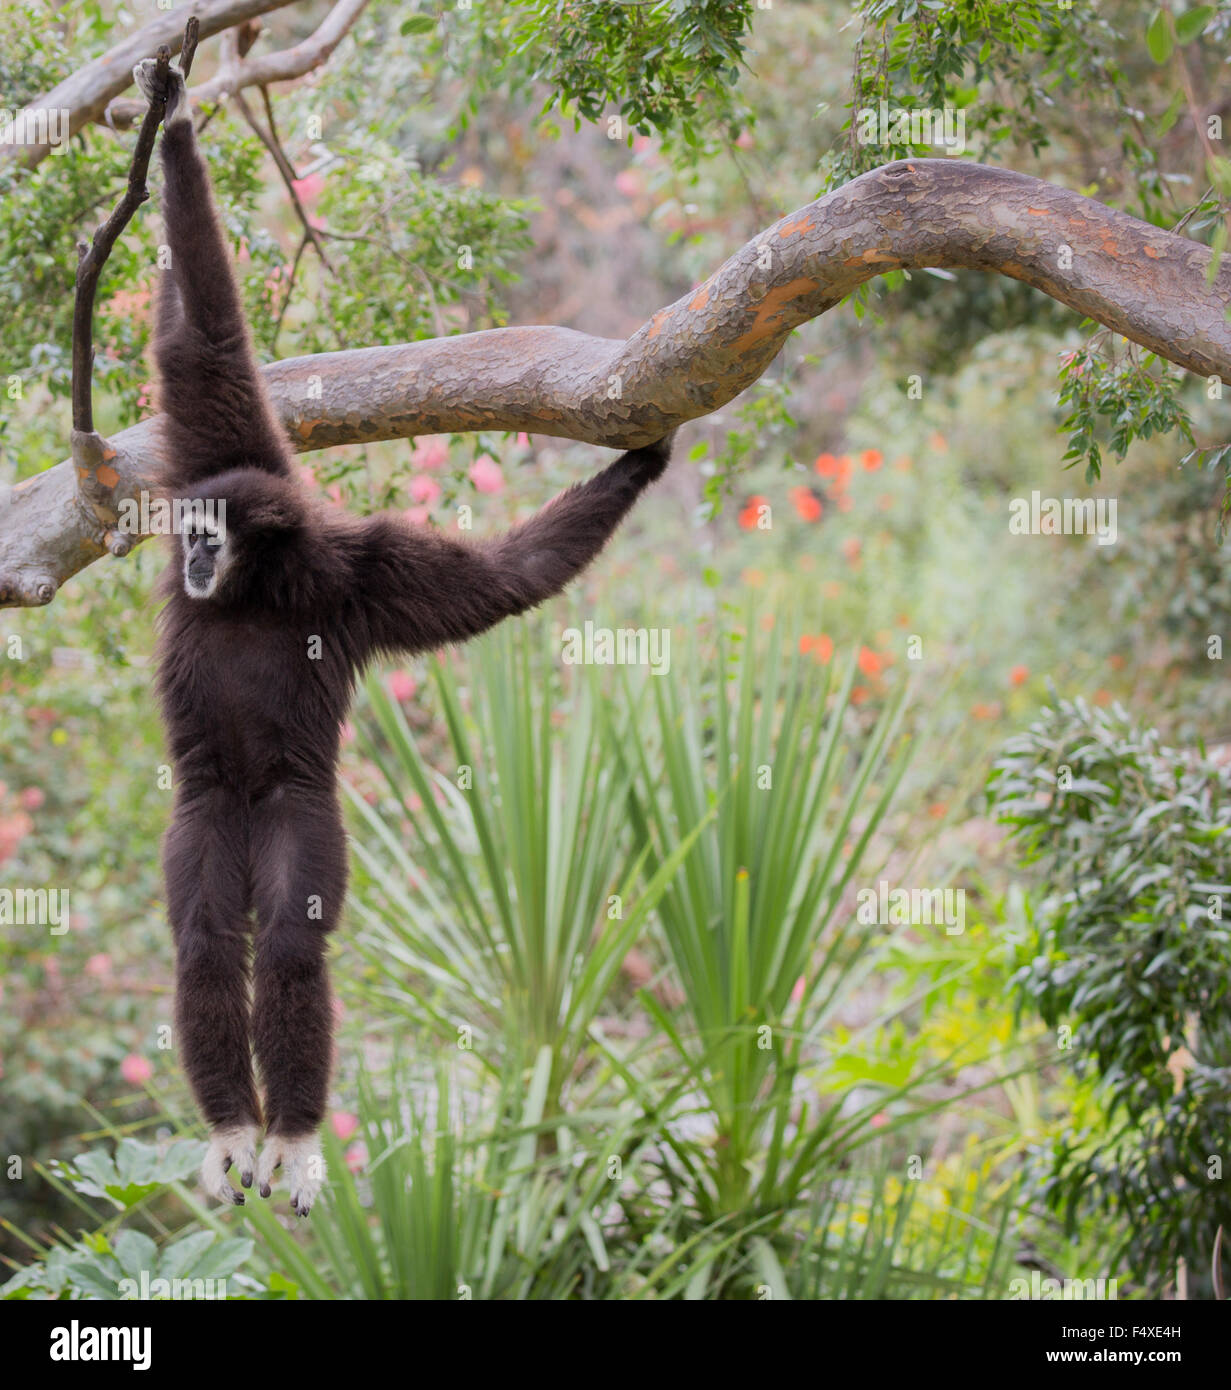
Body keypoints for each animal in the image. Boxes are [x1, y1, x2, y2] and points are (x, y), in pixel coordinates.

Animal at [132, 58, 672, 1216]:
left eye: (210, 536)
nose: (191, 555)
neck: (254, 588)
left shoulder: (357, 572)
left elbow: (501, 583)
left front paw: (636, 466)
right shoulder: (217, 463)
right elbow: (201, 342)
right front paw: (178, 111)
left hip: (298, 812)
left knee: (290, 941)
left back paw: (286, 1138)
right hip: (203, 814)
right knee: (206, 942)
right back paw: (237, 1129)